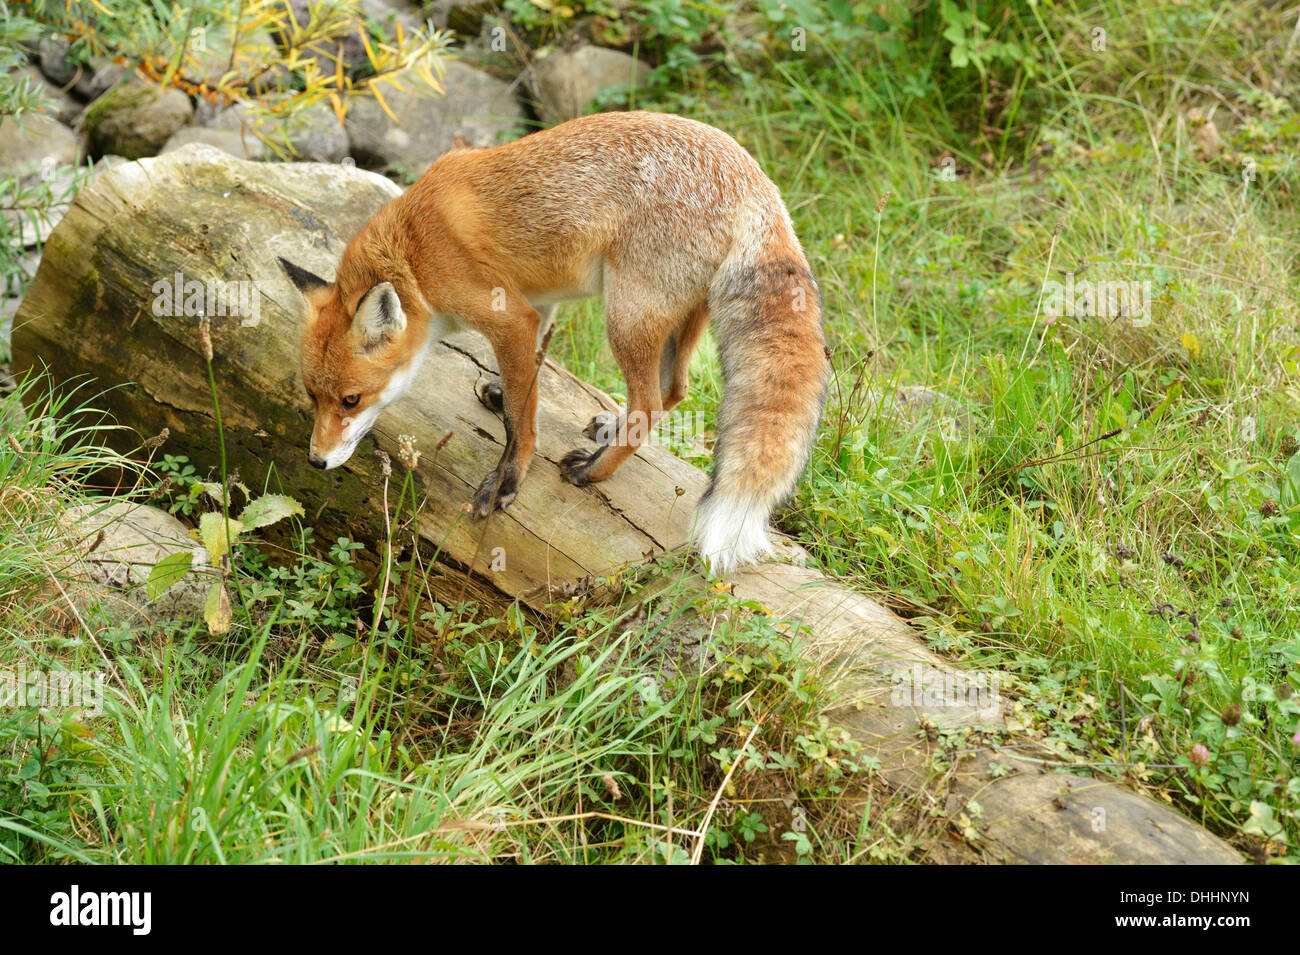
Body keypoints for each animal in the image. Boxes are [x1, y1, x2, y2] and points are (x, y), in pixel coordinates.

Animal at [278, 110, 828, 574]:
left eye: (351, 400)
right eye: (312, 395)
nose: (315, 461)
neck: (413, 257)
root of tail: (757, 182)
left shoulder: (509, 317)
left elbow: (523, 424)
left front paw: (506, 480)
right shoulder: (538, 310)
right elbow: (528, 387)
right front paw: (501, 396)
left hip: (625, 315)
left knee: (651, 400)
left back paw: (594, 471)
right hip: (676, 318)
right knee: (675, 390)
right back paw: (612, 429)